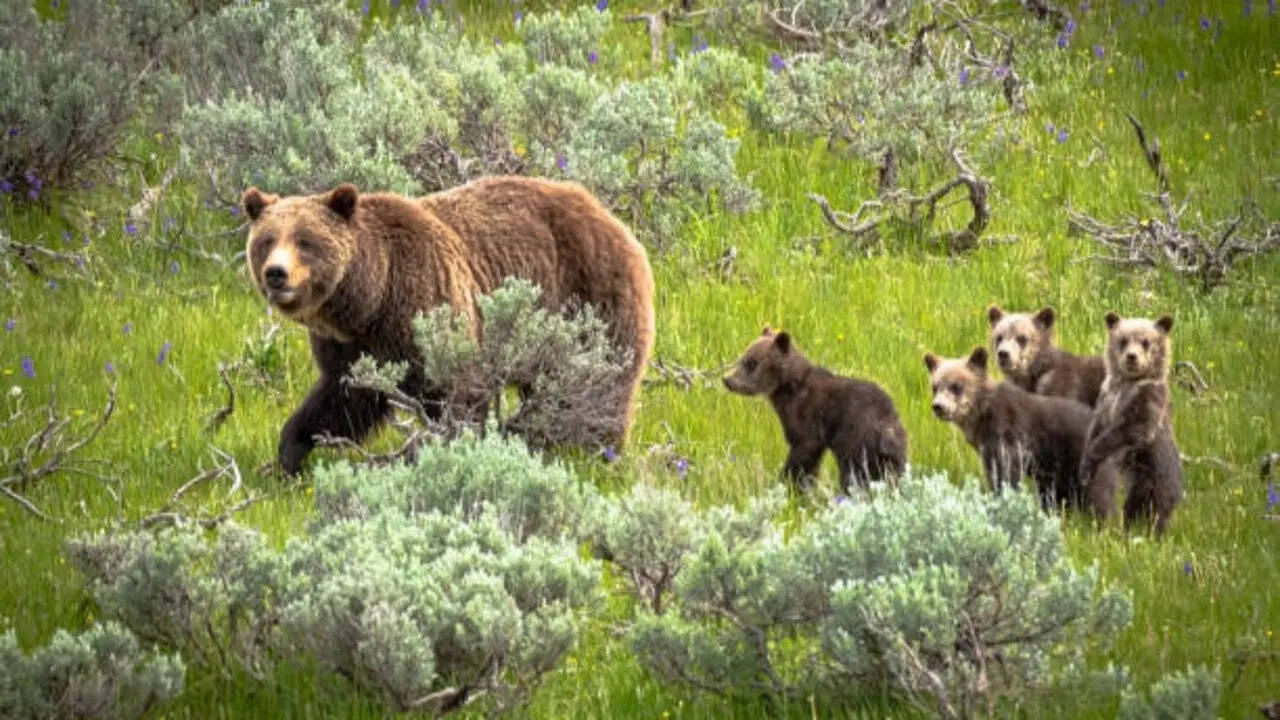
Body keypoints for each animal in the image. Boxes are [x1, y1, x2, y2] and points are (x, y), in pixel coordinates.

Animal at [242, 175, 655, 475]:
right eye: (266, 240)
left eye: (305, 241)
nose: (276, 273)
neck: (371, 299)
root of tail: (609, 216)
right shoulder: (351, 346)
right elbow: (342, 399)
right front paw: (289, 455)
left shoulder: (428, 305)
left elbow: (460, 392)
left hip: (588, 296)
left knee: (597, 382)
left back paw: (594, 449)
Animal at [723, 327, 907, 493]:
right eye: (742, 357)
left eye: (751, 362)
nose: (727, 380)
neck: (788, 387)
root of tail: (886, 429)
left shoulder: (807, 415)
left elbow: (803, 448)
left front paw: (790, 483)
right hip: (896, 448)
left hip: (856, 438)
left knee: (854, 473)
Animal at [923, 347, 1092, 511]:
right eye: (935, 387)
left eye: (956, 386)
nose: (938, 406)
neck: (982, 417)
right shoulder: (987, 450)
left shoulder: (1011, 437)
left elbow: (1009, 474)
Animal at [1079, 312, 1183, 535]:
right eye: (1123, 340)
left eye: (1146, 342)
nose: (1132, 357)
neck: (1127, 384)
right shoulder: (1105, 399)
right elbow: (1095, 430)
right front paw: (1084, 467)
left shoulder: (1147, 399)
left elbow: (1131, 429)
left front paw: (1093, 453)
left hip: (1151, 476)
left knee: (1148, 509)